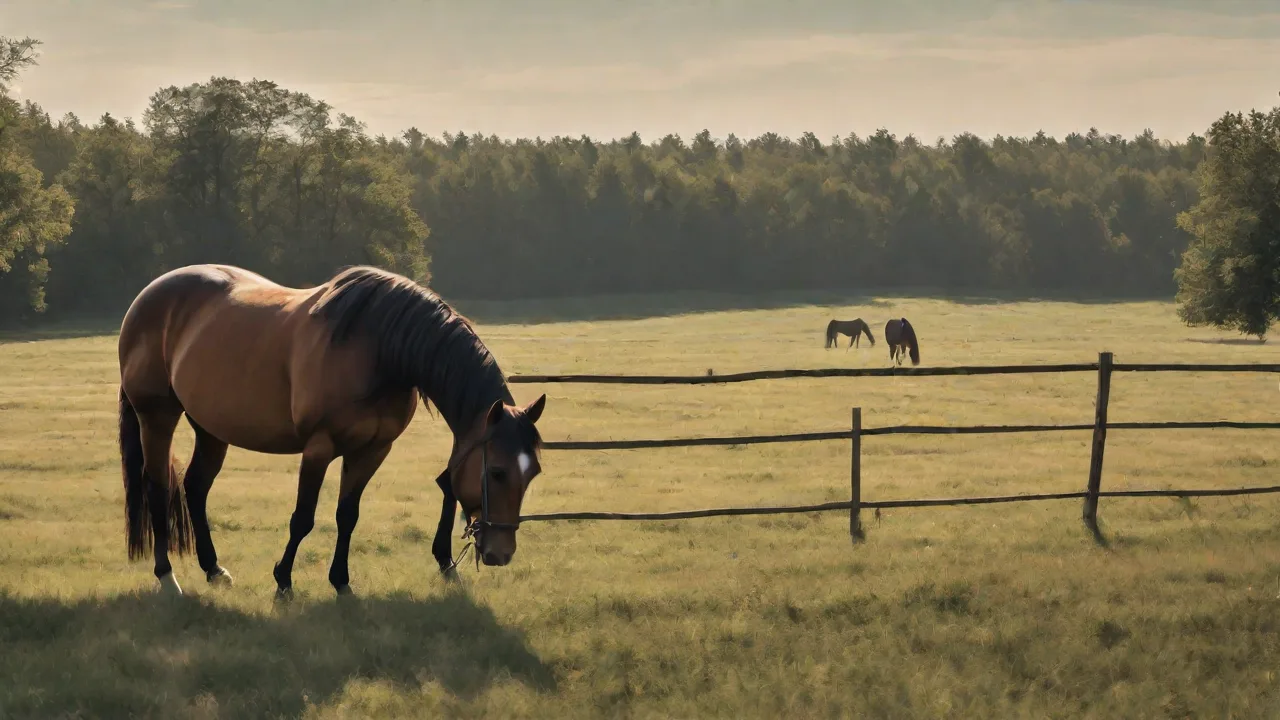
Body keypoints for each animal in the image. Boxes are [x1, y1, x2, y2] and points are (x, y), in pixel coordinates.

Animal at [116, 263, 547, 598]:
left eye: (533, 474)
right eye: (497, 472)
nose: (501, 553)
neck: (377, 349)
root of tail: (146, 297)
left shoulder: (372, 450)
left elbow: (347, 515)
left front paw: (340, 582)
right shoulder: (319, 448)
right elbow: (303, 517)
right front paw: (283, 581)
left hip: (210, 427)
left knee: (195, 487)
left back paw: (213, 570)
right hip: (156, 417)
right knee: (158, 488)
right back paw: (167, 578)